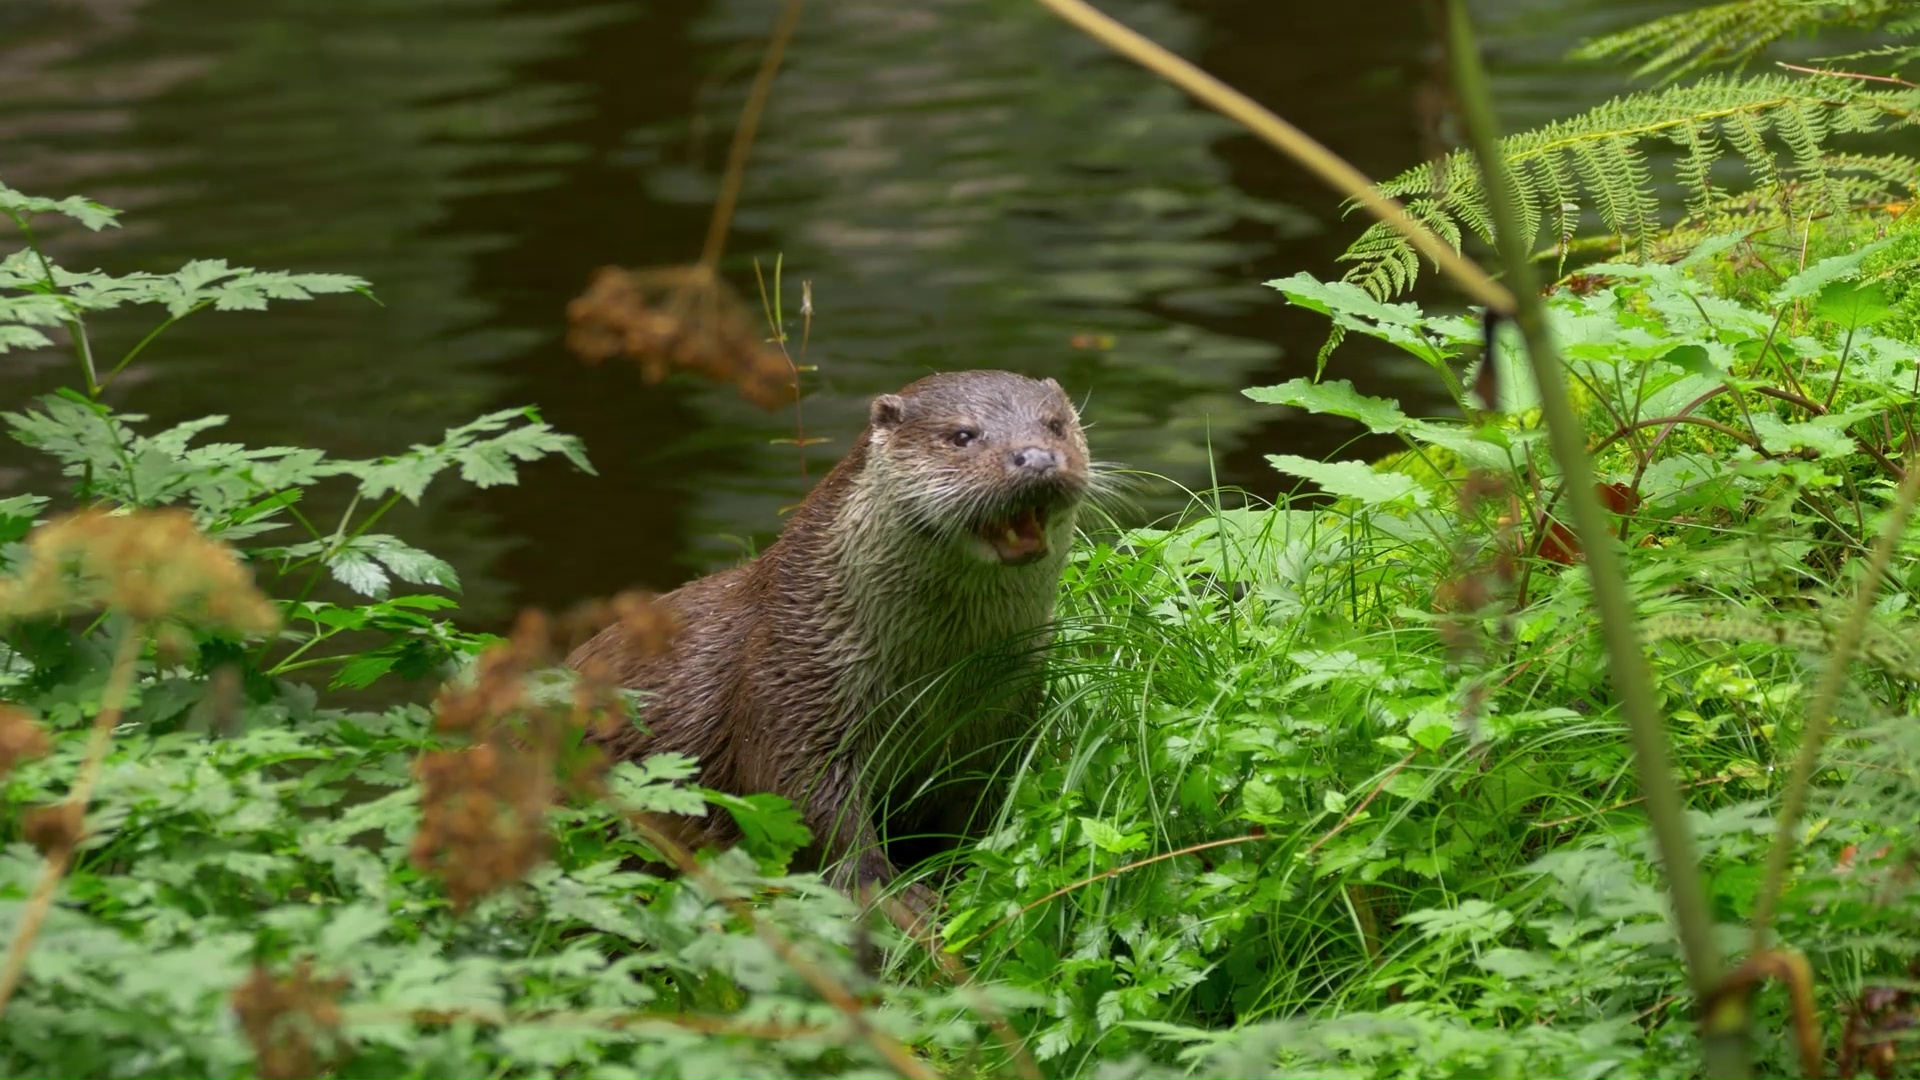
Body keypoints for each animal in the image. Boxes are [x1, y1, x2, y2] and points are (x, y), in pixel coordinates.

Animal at [569, 370, 1092, 904]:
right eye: (962, 436)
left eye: (1055, 425)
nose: (1037, 457)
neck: (936, 681)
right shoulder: (791, 687)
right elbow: (808, 807)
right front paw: (895, 894)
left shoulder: (1007, 713)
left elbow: (983, 806)